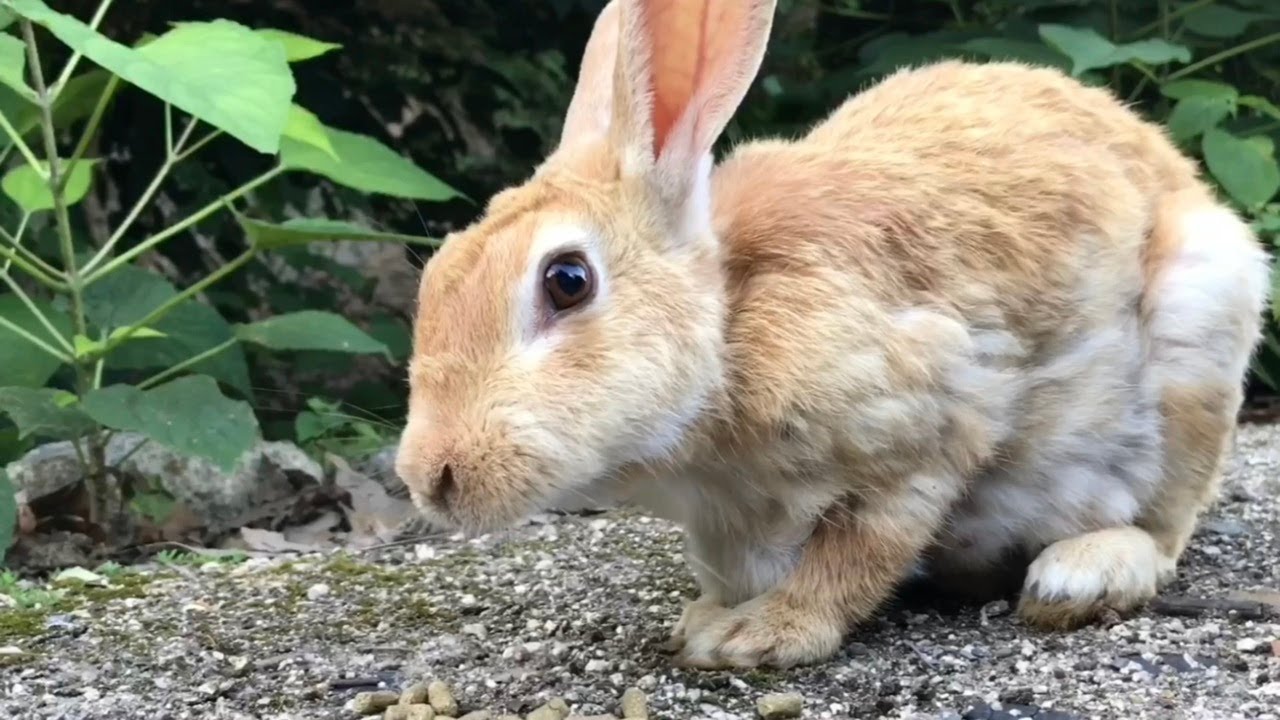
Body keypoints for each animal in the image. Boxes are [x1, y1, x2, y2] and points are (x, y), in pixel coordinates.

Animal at [394, 0, 1271, 670]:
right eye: (434, 276)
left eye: (566, 280)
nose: (429, 477)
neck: (729, 326)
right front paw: (706, 620)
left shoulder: (933, 422)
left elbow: (860, 553)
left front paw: (759, 637)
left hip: (1201, 334)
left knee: (1166, 525)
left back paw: (1085, 572)